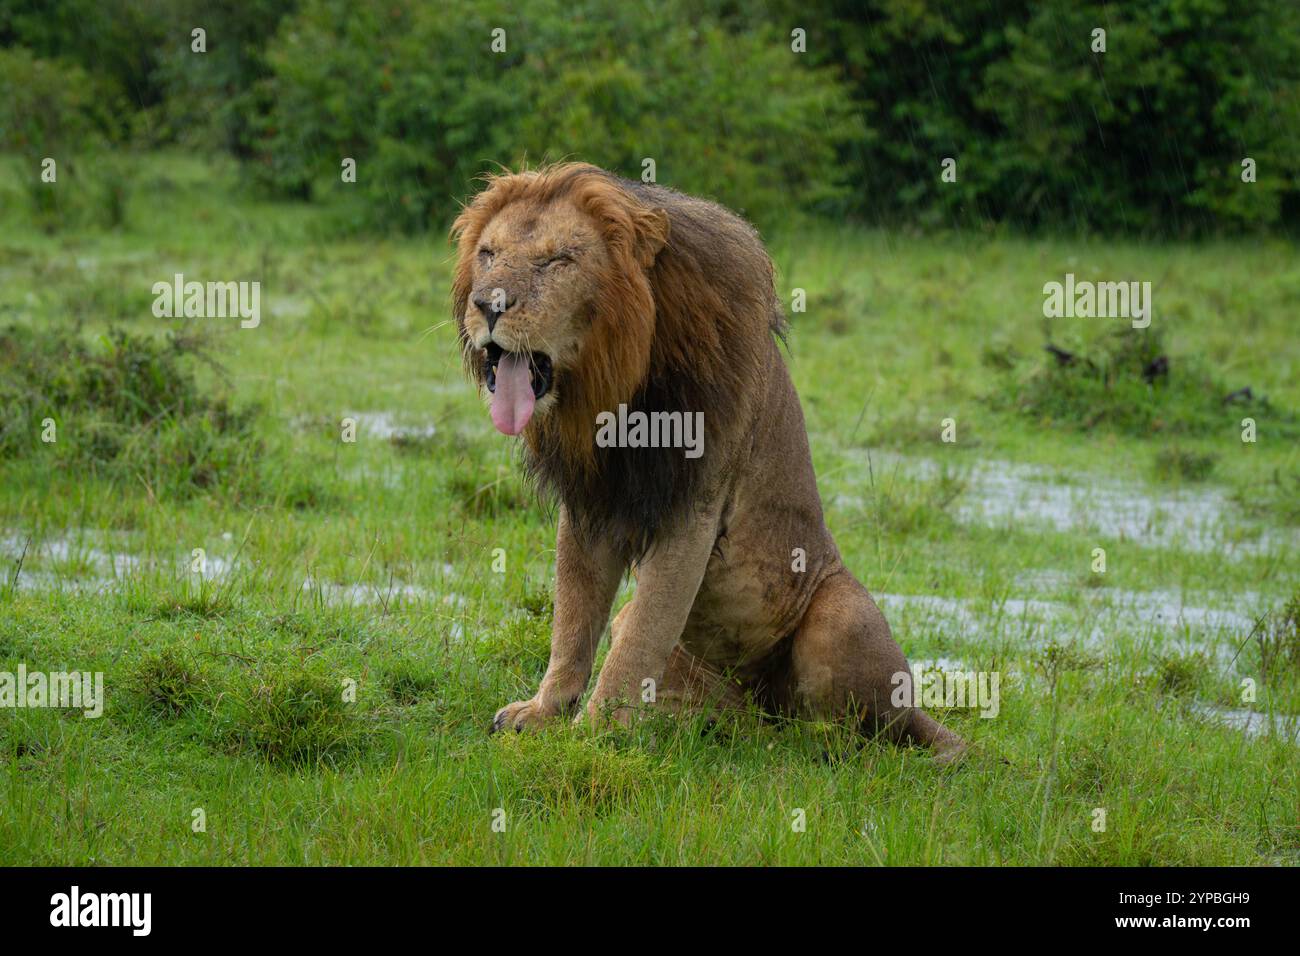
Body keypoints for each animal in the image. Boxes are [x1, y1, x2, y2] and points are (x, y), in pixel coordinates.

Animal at [452, 163, 966, 761]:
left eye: (558, 260)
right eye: (488, 254)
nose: (488, 306)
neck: (613, 390)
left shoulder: (692, 509)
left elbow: (641, 636)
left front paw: (597, 735)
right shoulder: (589, 505)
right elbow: (574, 621)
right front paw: (543, 714)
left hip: (841, 621)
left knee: (863, 732)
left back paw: (813, 744)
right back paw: (700, 725)